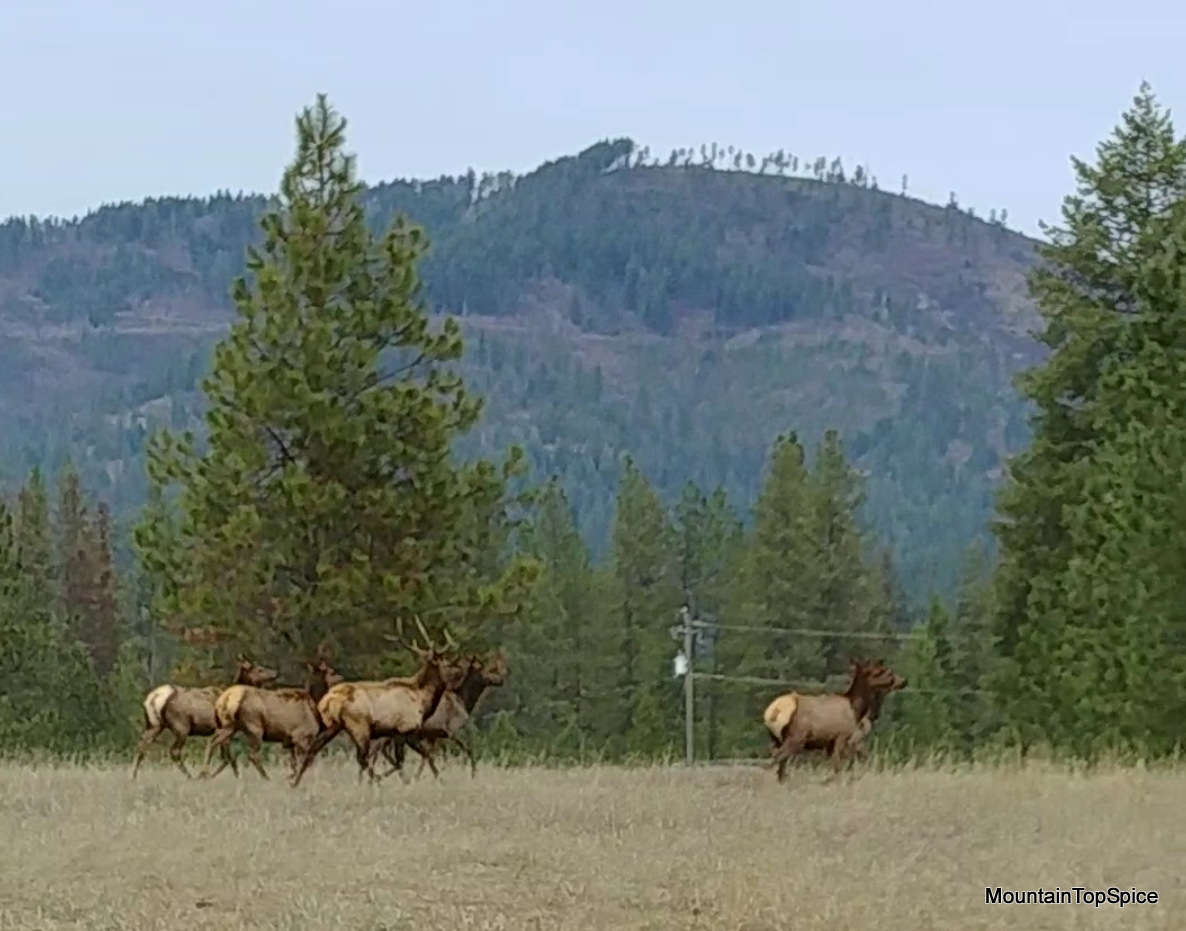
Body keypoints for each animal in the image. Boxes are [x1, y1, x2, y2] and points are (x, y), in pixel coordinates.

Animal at [130, 656, 279, 780]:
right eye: (260, 669)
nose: (275, 673)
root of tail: (155, 698)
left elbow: (228, 758)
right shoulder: (224, 730)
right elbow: (227, 758)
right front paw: (209, 776)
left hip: (154, 725)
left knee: (141, 747)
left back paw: (133, 777)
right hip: (181, 726)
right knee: (174, 751)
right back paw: (190, 777)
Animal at [197, 657, 344, 783]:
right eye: (332, 672)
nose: (342, 678)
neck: (315, 707)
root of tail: (227, 698)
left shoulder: (290, 741)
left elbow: (294, 763)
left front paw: (291, 776)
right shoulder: (302, 735)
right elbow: (307, 760)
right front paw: (296, 778)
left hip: (229, 725)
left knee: (212, 741)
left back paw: (203, 773)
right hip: (255, 726)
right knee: (251, 753)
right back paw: (266, 777)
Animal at [288, 616, 465, 788]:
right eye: (447, 664)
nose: (460, 673)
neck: (423, 699)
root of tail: (330, 700)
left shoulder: (396, 734)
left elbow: (404, 761)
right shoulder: (406, 730)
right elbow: (419, 757)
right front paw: (435, 781)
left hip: (333, 725)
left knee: (314, 749)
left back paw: (295, 783)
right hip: (359, 726)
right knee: (361, 757)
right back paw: (375, 782)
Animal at [370, 647, 508, 781]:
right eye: (485, 668)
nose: (501, 680)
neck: (464, 700)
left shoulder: (432, 736)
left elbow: (427, 756)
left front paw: (420, 776)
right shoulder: (451, 731)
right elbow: (467, 749)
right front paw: (474, 775)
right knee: (378, 752)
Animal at [764, 658, 906, 784]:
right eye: (882, 671)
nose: (904, 681)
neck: (856, 709)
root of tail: (773, 711)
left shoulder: (830, 744)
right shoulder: (842, 737)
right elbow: (838, 767)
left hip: (775, 739)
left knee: (779, 764)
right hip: (797, 736)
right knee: (776, 759)